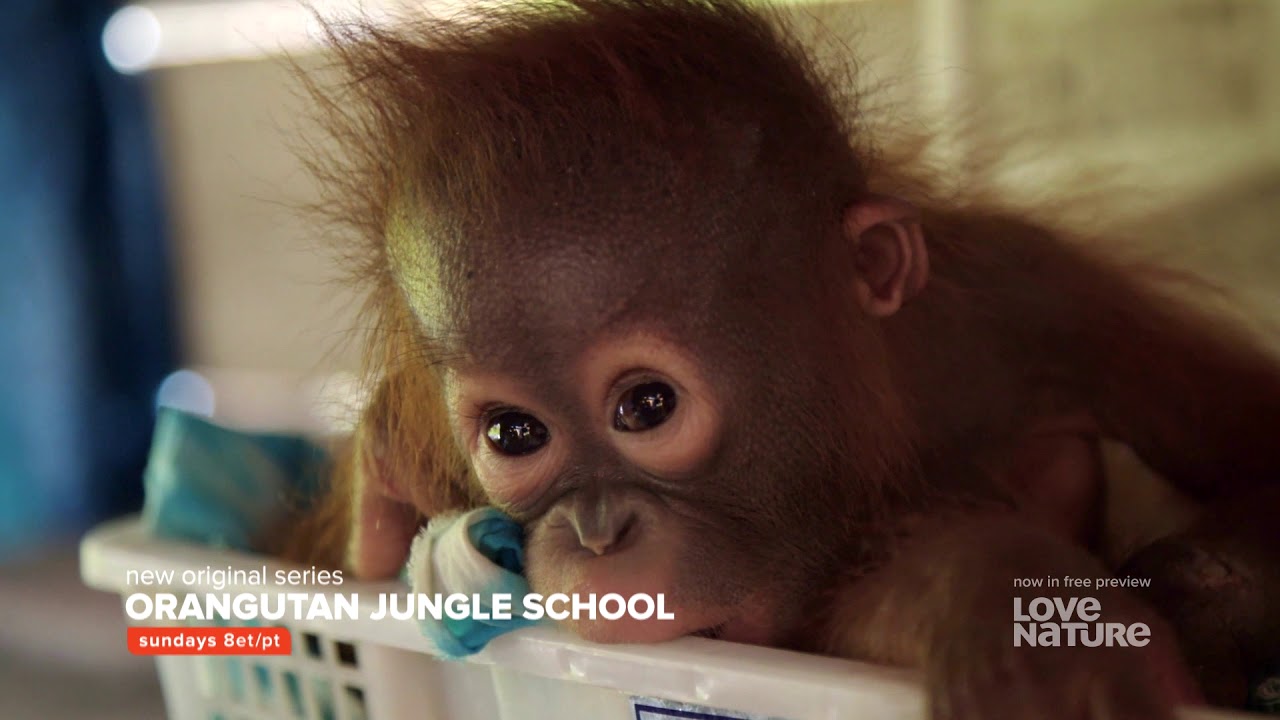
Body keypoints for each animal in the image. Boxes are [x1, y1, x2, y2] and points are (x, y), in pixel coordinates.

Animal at [282, 2, 1280, 718]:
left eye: (646, 406)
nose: (596, 535)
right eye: (514, 434)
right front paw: (992, 598)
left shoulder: (1031, 296)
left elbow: (1249, 449)